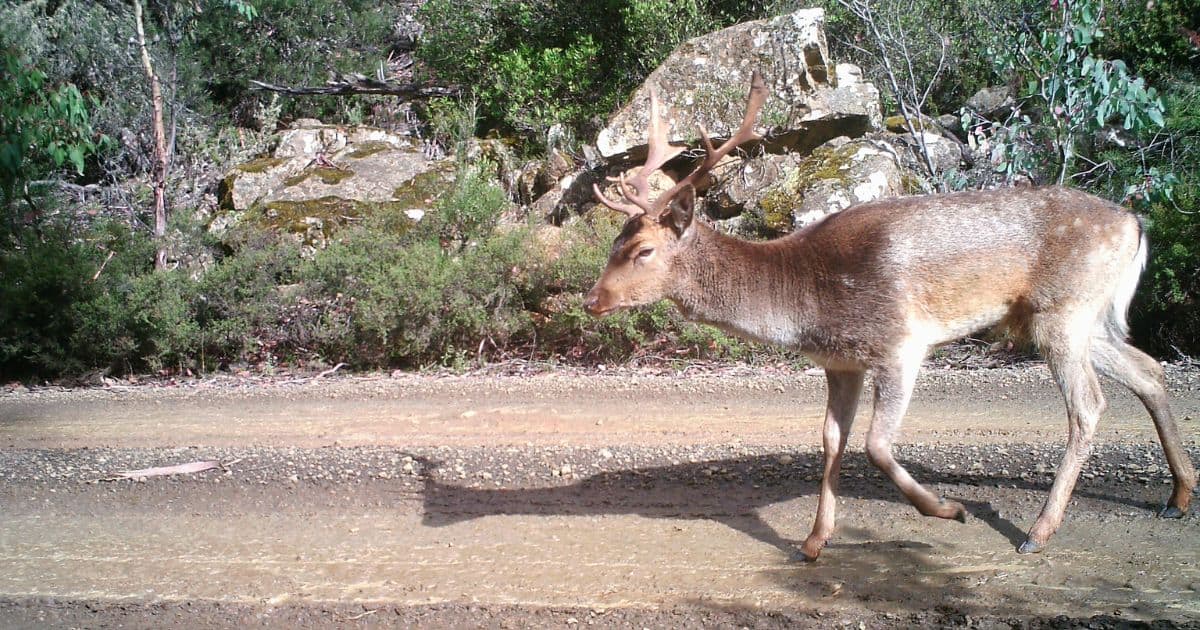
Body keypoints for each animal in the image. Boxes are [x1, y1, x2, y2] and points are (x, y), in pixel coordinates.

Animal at [584, 71, 1197, 560]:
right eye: (615, 241)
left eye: (643, 251)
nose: (592, 300)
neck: (805, 301)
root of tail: (1136, 224)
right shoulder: (840, 363)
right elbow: (831, 441)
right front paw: (814, 541)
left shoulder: (899, 343)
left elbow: (876, 446)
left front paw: (947, 509)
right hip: (1079, 318)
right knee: (1149, 370)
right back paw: (1179, 495)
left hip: (1062, 311)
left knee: (1089, 405)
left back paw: (1039, 532)